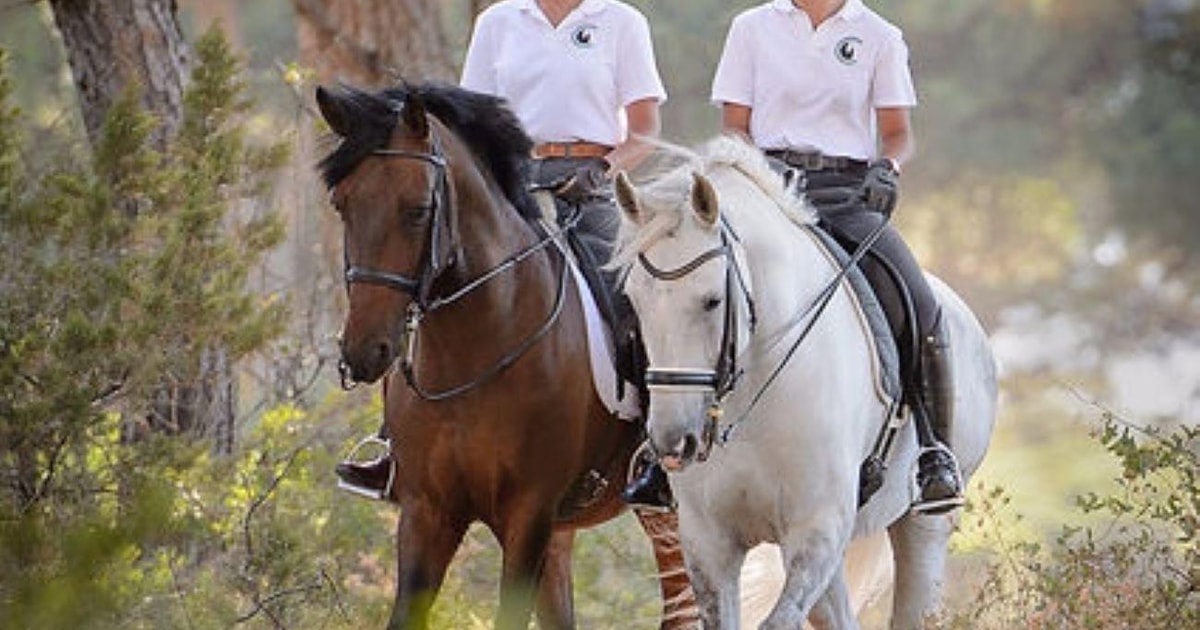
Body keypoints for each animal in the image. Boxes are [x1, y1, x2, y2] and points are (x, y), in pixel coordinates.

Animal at [610, 136, 998, 629]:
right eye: (633, 300)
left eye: (712, 300)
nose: (673, 443)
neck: (753, 395)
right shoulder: (708, 541)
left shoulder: (818, 528)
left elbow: (778, 622)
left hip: (923, 523)